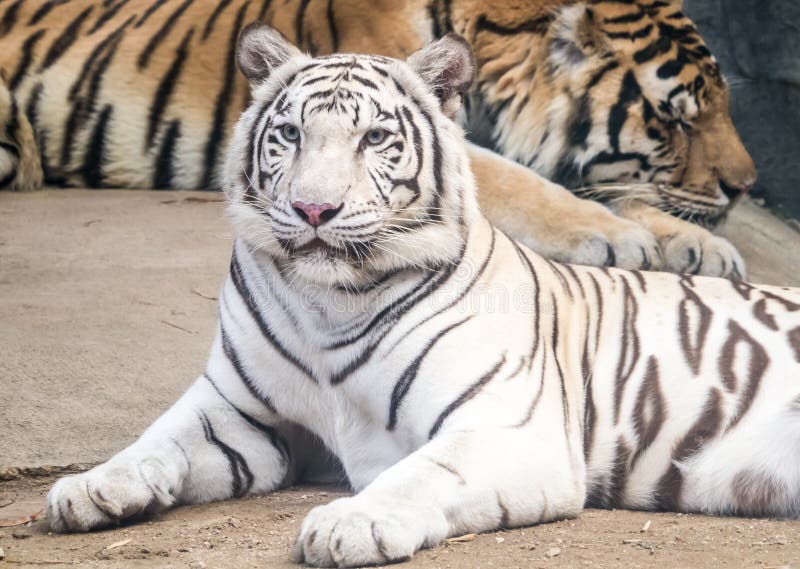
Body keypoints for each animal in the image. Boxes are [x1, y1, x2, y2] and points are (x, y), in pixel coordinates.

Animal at [0, 0, 755, 278]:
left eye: (720, 106)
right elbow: (523, 183)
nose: (746, 187)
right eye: (678, 117)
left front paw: (694, 243)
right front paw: (620, 237)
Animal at [46, 27, 800, 568]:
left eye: (375, 137)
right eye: (291, 134)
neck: (330, 300)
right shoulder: (237, 409)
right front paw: (90, 487)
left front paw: (348, 523)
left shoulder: (506, 426)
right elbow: (156, 440)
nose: (313, 210)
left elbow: (422, 473)